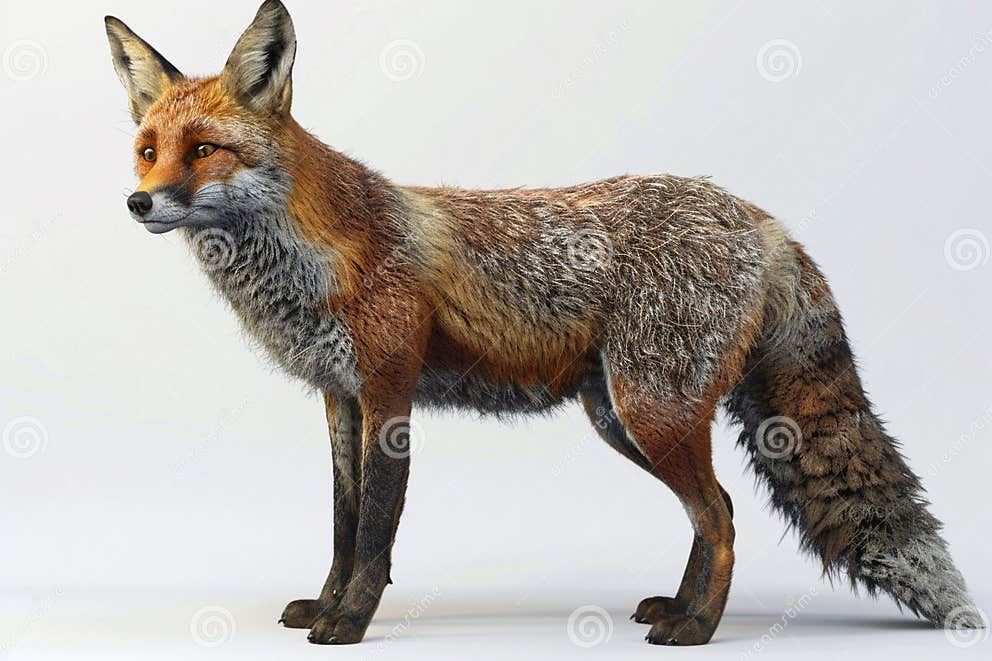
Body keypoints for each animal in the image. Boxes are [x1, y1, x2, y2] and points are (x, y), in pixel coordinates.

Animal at [105, 0, 982, 647]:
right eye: (148, 150)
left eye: (205, 150)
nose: (139, 202)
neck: (314, 256)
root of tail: (760, 218)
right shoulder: (339, 399)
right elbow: (341, 521)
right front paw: (322, 604)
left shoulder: (389, 395)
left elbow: (376, 531)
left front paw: (349, 621)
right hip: (620, 415)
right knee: (718, 509)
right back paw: (679, 606)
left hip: (651, 409)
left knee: (722, 513)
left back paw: (698, 628)